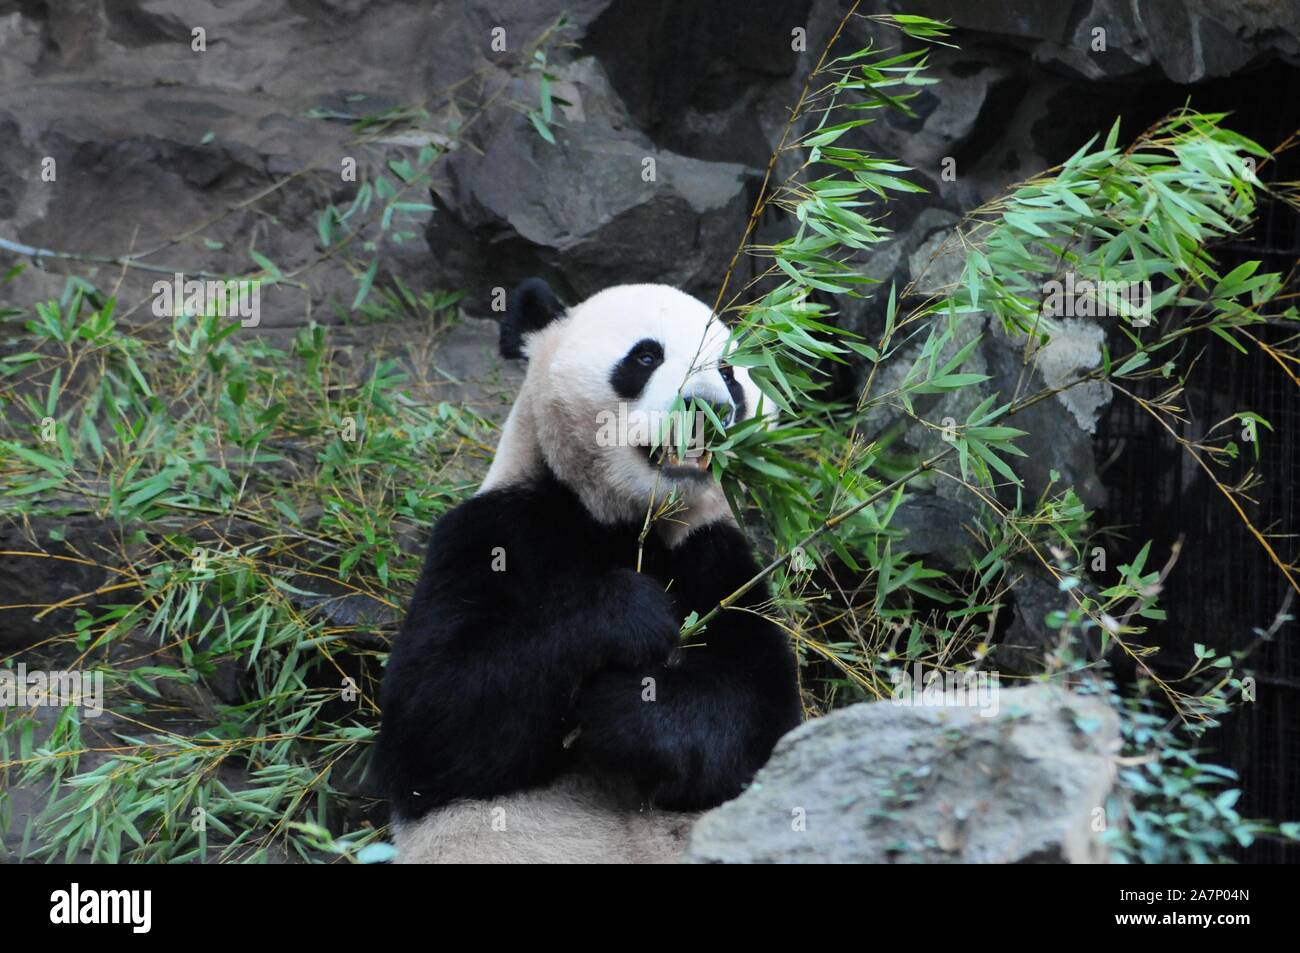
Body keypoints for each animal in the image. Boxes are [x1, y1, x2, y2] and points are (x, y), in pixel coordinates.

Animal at [373, 279, 802, 863]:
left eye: (731, 373)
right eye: (646, 356)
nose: (709, 406)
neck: (625, 522)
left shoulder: (716, 555)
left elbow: (762, 720)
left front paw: (627, 711)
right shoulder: (492, 531)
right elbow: (431, 718)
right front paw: (629, 613)